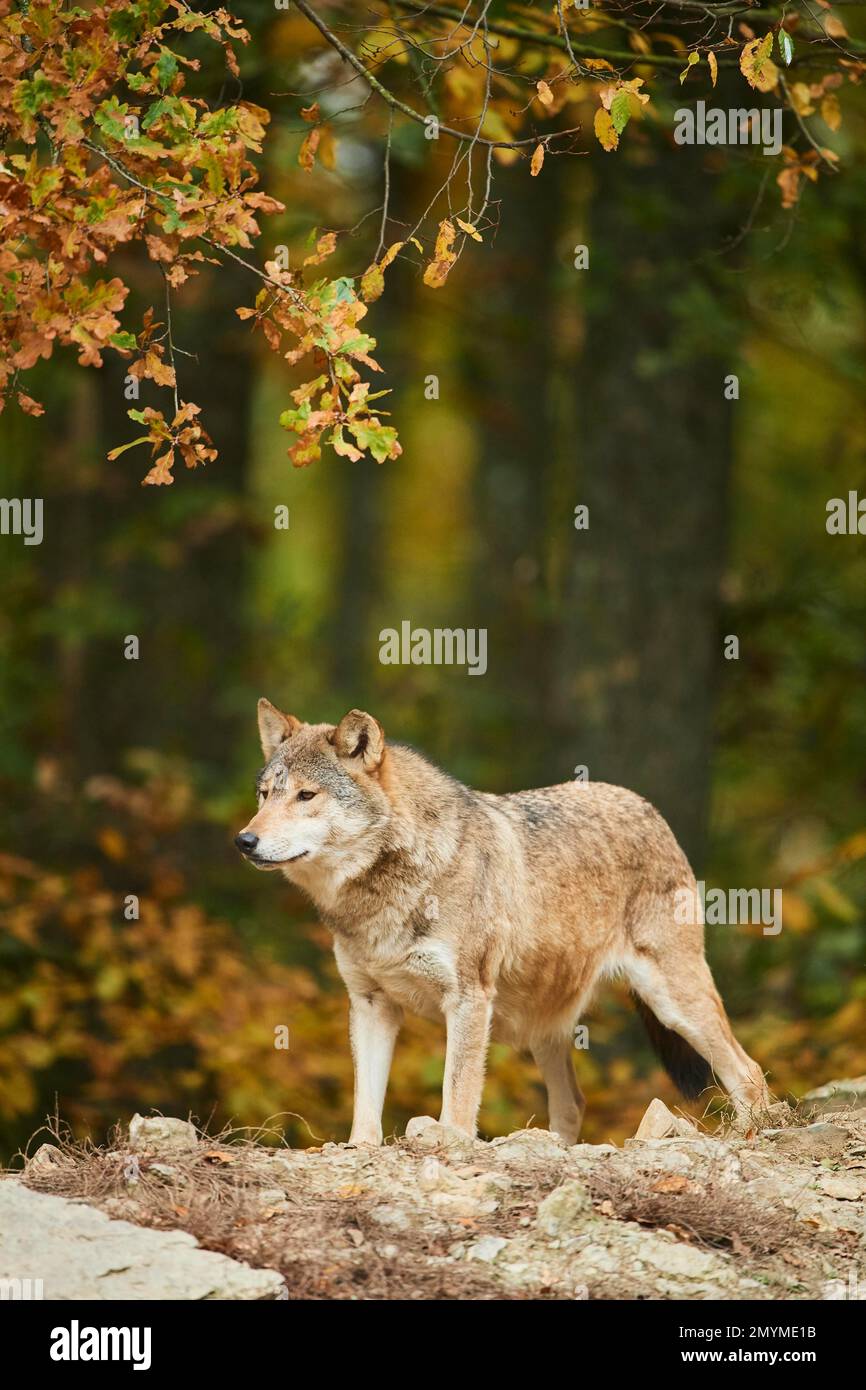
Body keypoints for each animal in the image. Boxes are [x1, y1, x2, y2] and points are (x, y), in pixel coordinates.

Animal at [235, 701, 770, 1145]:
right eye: (264, 795)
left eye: (306, 795)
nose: (244, 840)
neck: (384, 896)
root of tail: (647, 806)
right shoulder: (371, 1004)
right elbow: (365, 1104)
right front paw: (360, 1149)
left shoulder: (470, 999)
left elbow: (457, 1094)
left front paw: (451, 1141)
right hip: (546, 1030)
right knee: (573, 1104)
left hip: (673, 1003)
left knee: (751, 1074)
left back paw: (746, 1136)